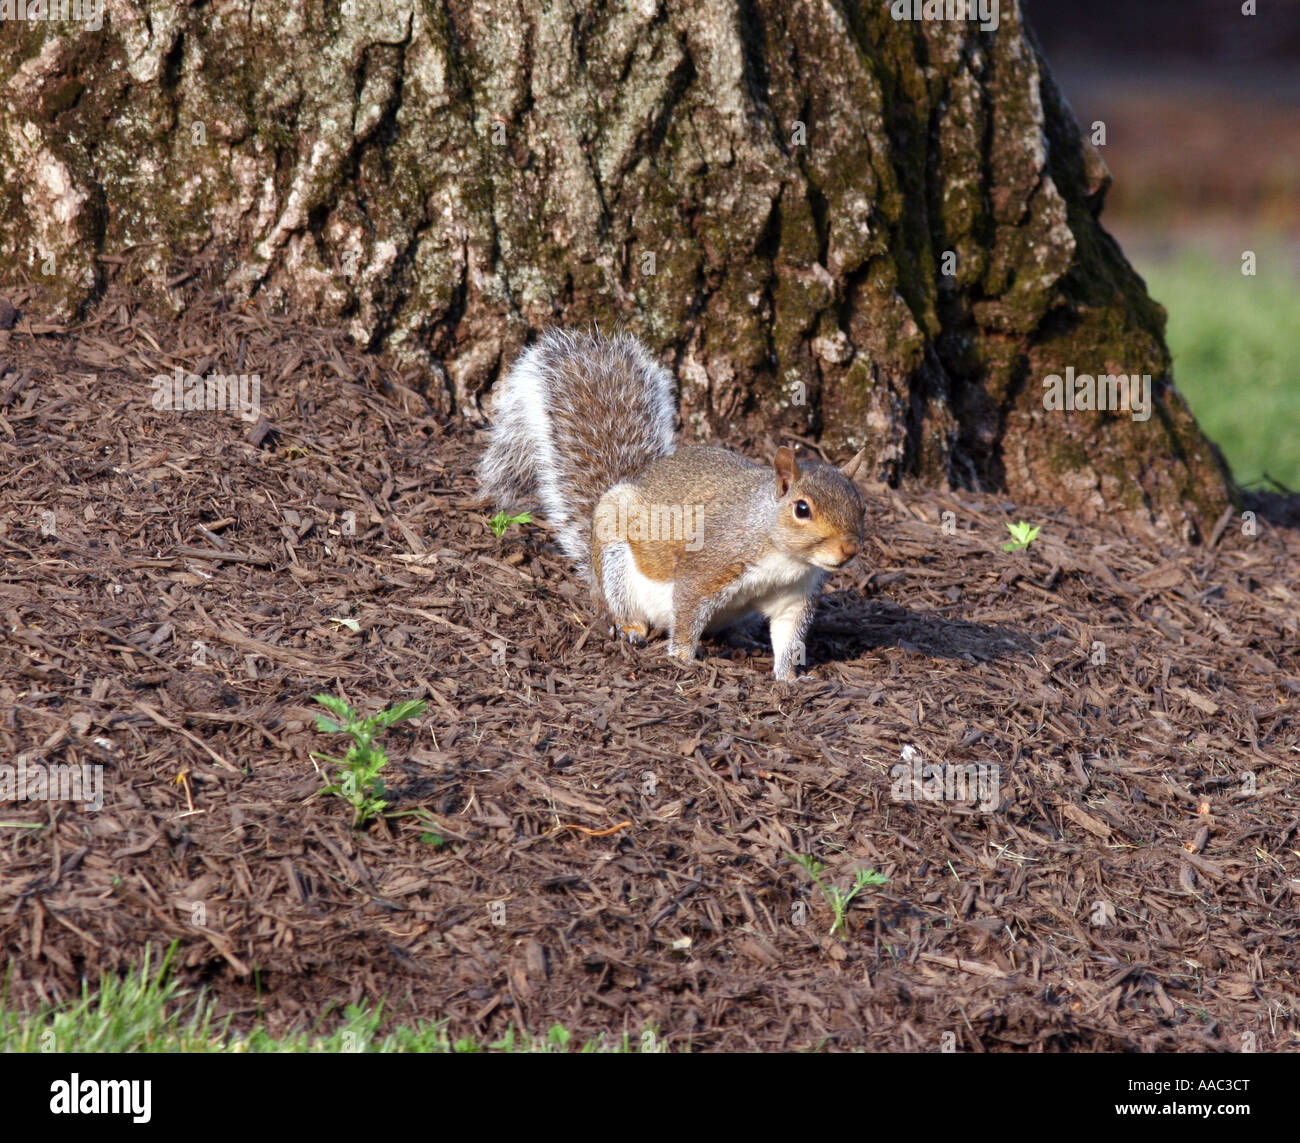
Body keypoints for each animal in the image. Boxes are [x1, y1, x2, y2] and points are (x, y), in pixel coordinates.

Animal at [477, 329, 866, 680]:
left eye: (861, 506)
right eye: (802, 509)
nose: (850, 549)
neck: (785, 556)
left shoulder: (794, 595)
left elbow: (788, 635)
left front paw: (788, 678)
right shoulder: (709, 565)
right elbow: (688, 610)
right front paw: (681, 658)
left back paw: (741, 637)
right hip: (615, 560)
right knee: (618, 604)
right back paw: (631, 627)